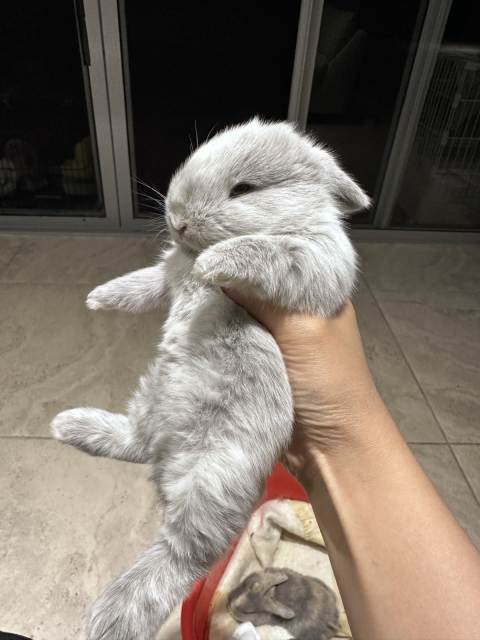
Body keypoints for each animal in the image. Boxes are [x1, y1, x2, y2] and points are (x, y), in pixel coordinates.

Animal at [51, 118, 369, 640]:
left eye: (243, 190)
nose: (176, 219)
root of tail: (165, 456)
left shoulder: (316, 260)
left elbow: (267, 252)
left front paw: (211, 264)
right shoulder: (165, 274)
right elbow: (145, 282)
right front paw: (100, 298)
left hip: (217, 475)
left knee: (182, 558)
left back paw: (112, 616)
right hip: (151, 398)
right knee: (131, 442)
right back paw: (69, 424)